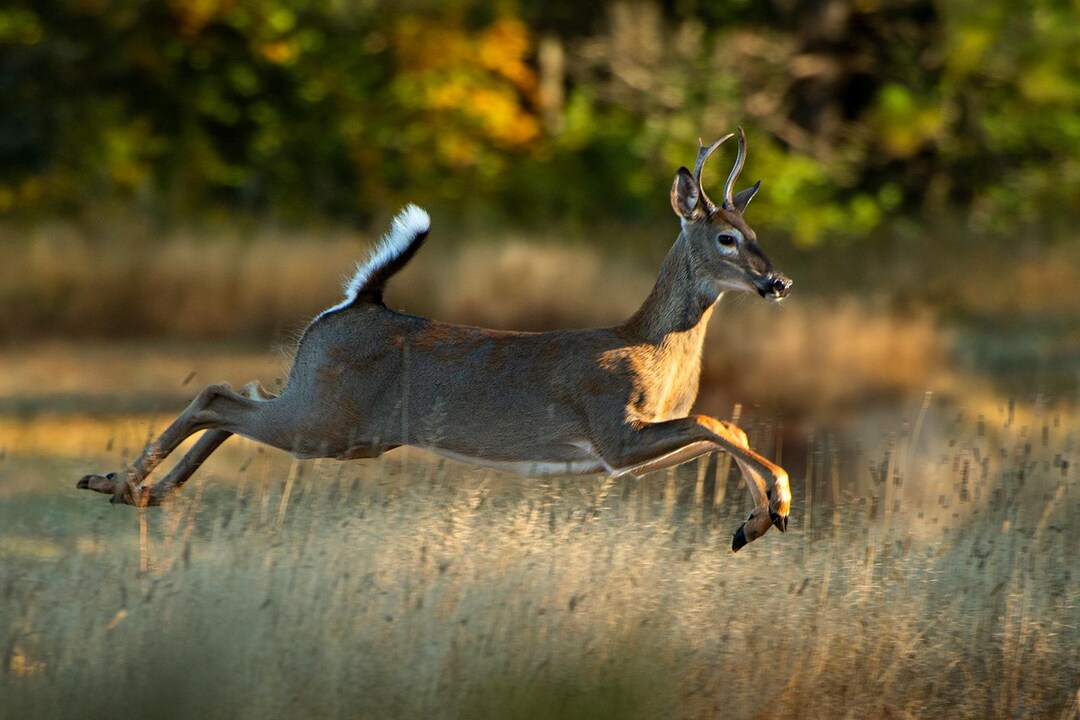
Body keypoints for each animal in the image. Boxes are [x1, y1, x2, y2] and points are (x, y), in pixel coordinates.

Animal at [78, 128, 792, 551]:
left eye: (758, 234)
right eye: (727, 237)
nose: (778, 280)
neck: (650, 346)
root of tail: (359, 301)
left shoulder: (623, 454)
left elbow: (725, 430)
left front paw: (757, 521)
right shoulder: (613, 430)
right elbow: (716, 425)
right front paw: (778, 505)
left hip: (335, 424)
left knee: (234, 403)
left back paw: (136, 489)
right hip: (328, 419)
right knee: (217, 395)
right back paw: (118, 484)